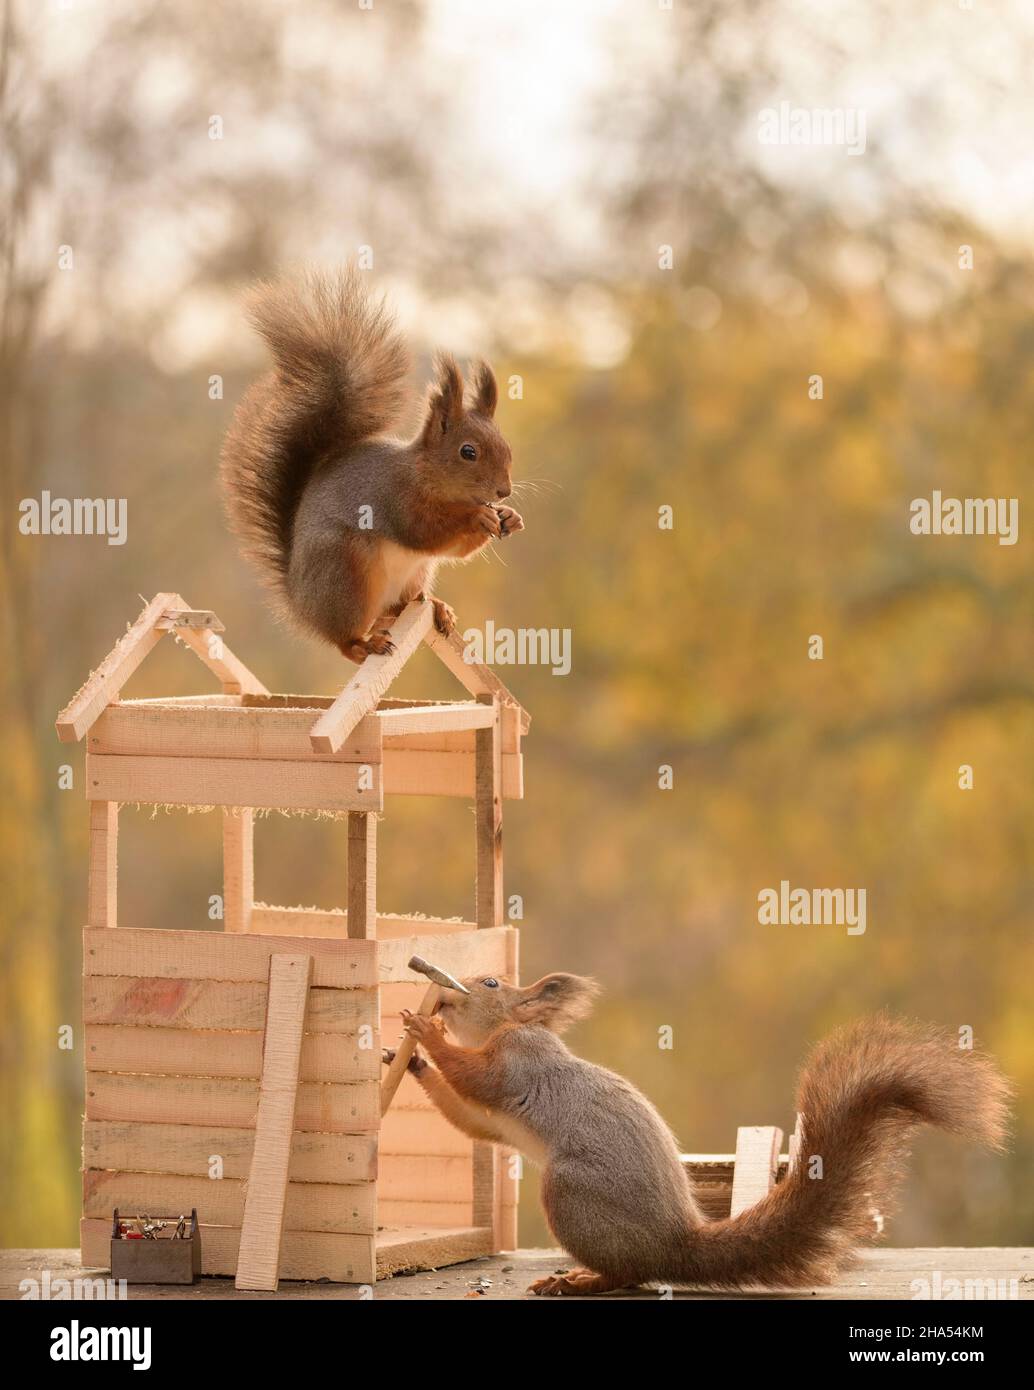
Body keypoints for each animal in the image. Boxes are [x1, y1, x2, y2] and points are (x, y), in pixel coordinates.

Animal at [219, 269, 523, 662]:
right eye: (468, 452)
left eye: (507, 448)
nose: (504, 491)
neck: (426, 475)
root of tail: (301, 604)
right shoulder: (393, 497)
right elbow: (423, 531)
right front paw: (477, 517)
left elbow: (455, 550)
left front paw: (510, 518)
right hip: (347, 574)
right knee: (345, 641)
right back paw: (366, 644)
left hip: (414, 574)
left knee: (398, 608)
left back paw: (436, 606)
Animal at [387, 976, 1010, 1296]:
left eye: (489, 982)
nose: (445, 995)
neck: (507, 1030)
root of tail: (675, 1243)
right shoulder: (492, 1121)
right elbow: (466, 1116)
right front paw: (411, 1061)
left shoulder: (519, 1063)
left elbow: (477, 1079)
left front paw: (425, 1033)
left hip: (569, 1194)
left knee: (633, 1275)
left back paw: (578, 1280)